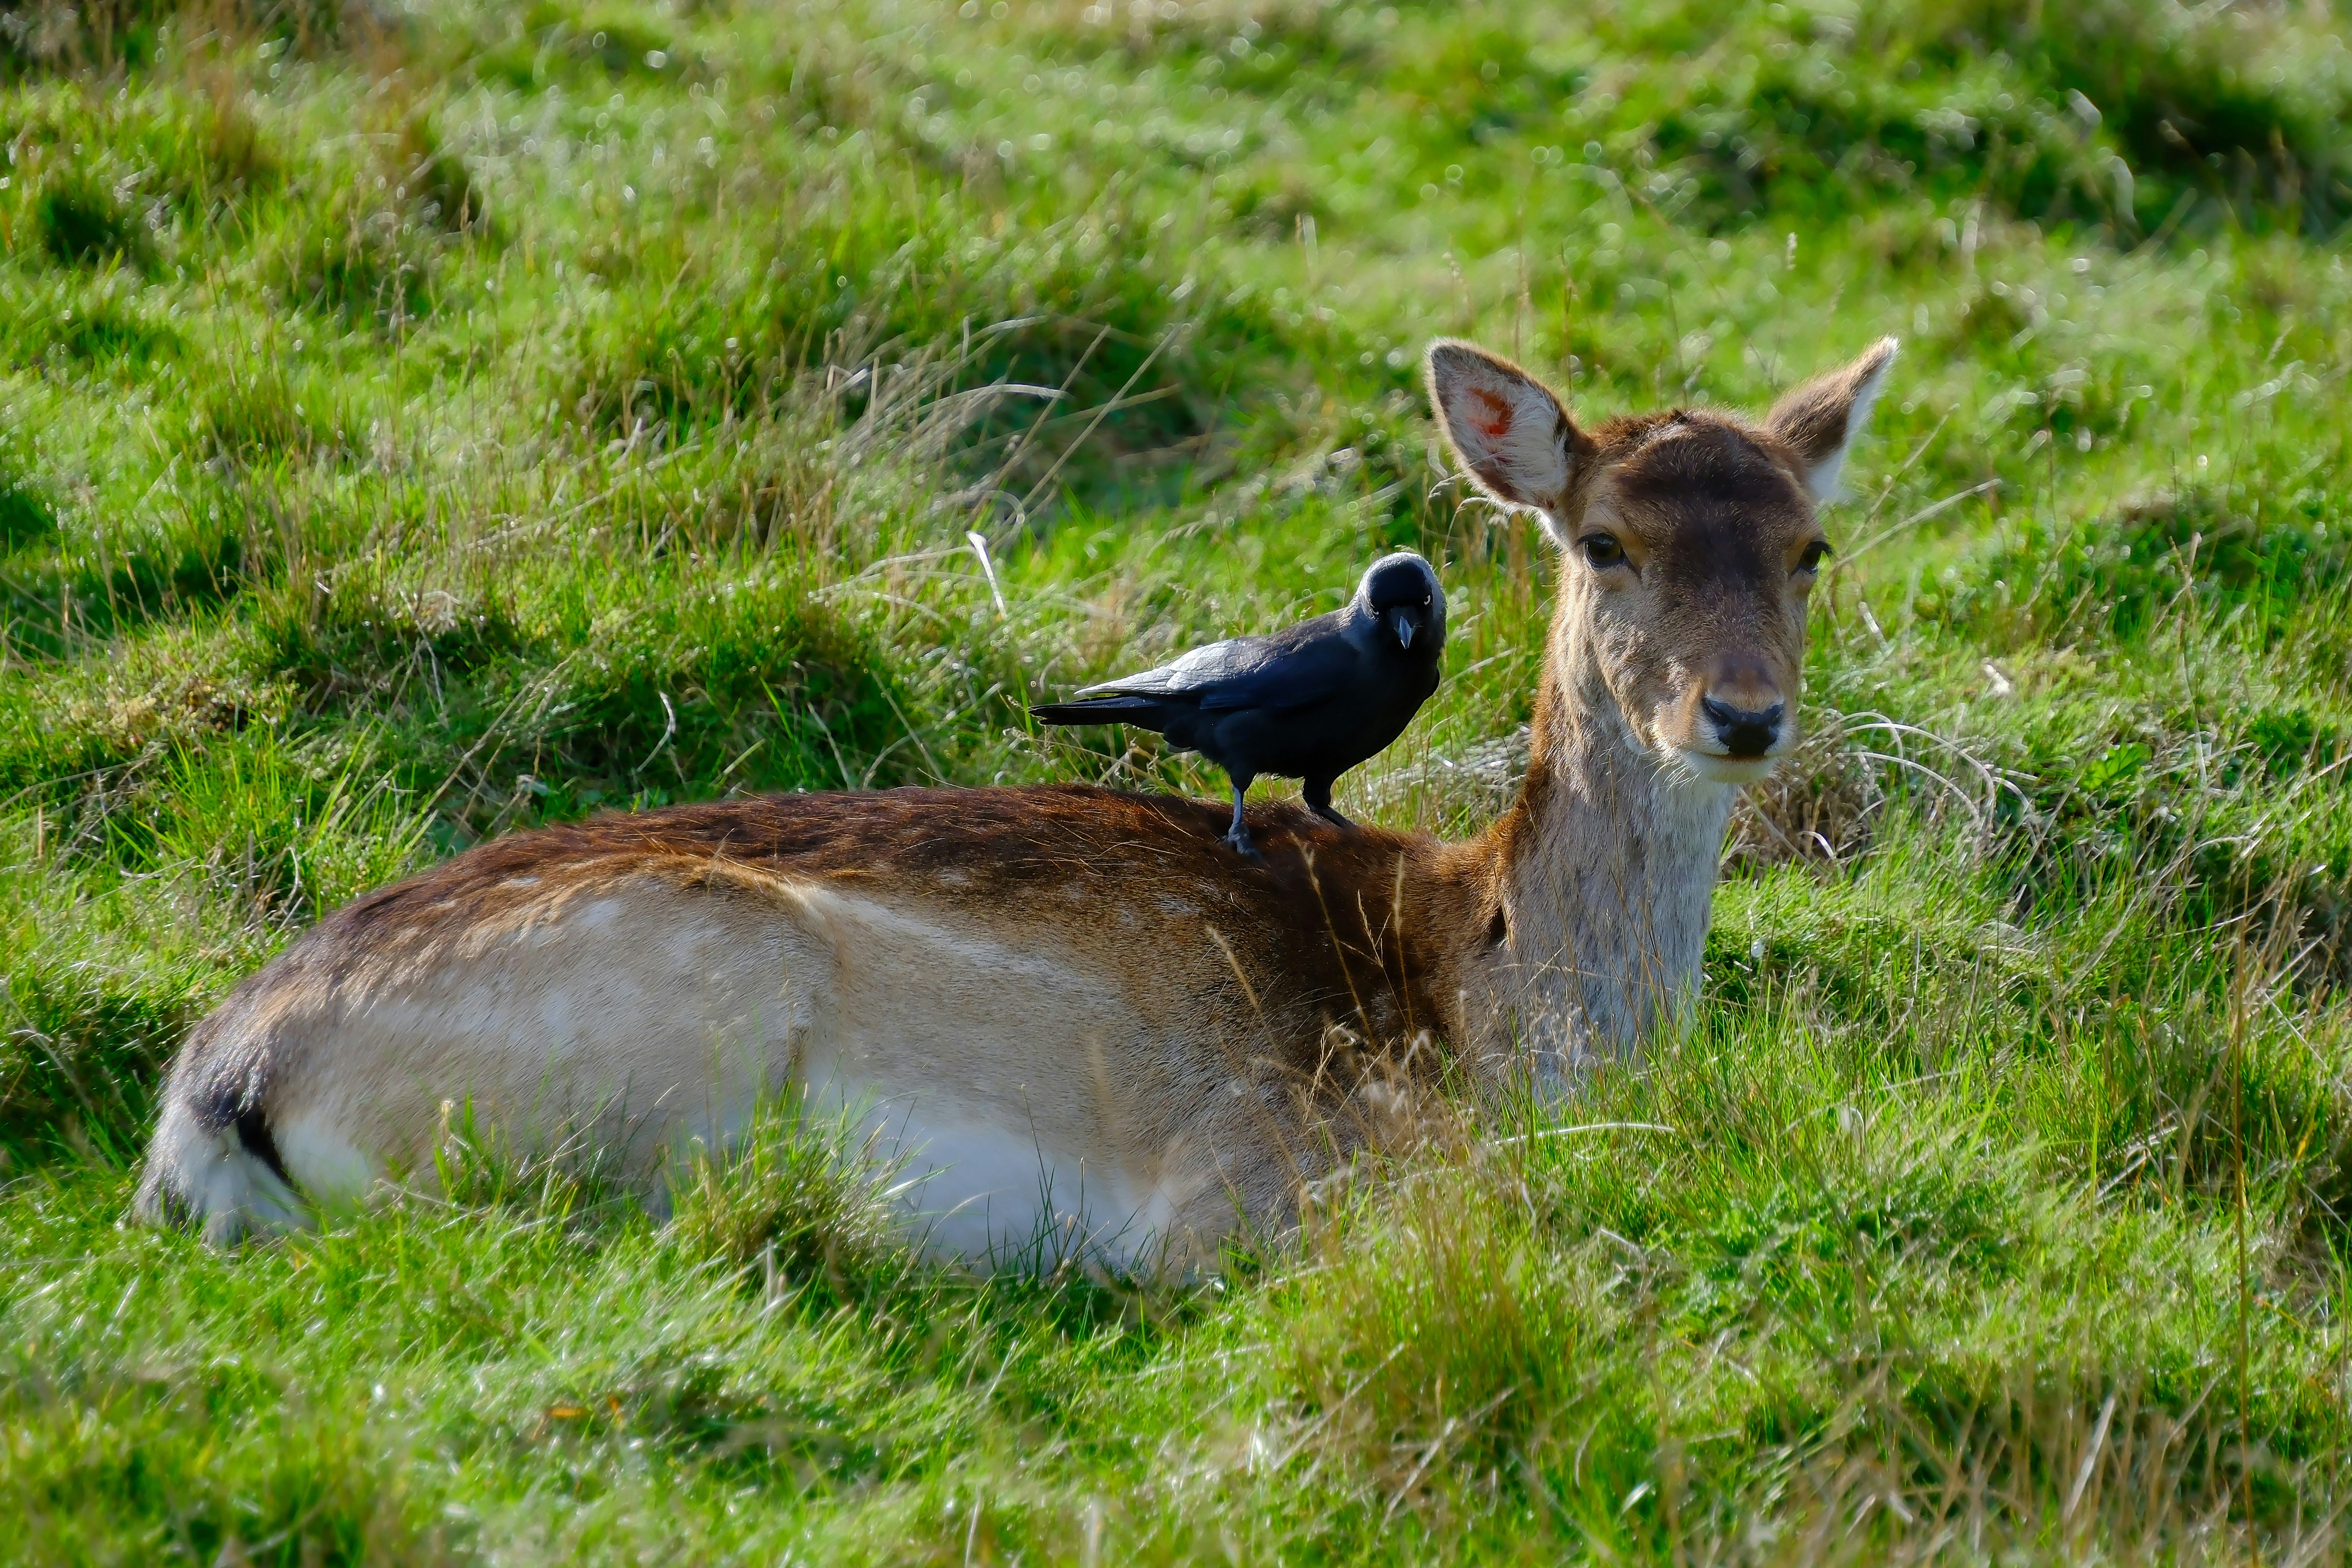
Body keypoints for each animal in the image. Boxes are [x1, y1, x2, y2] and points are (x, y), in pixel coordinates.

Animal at [135, 334, 1896, 1270]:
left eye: (1809, 545)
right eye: (1602, 540)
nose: (1741, 716)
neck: (1482, 1002)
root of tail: (214, 1088)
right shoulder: (1252, 1182)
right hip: (673, 1021)